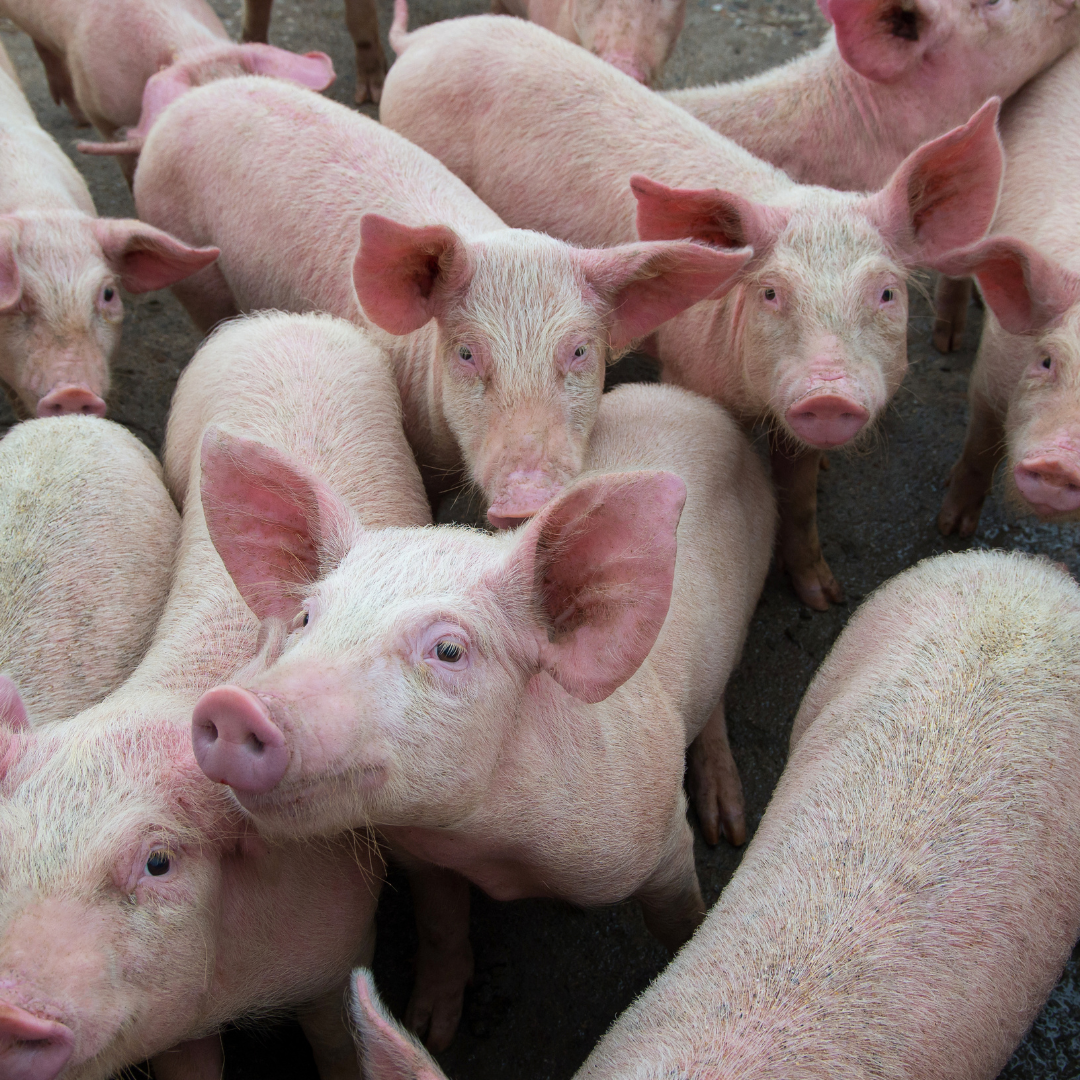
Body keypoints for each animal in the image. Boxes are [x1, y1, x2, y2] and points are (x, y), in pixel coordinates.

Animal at [189, 380, 775, 1047]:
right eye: (308, 618)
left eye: (449, 650)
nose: (235, 706)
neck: (484, 845)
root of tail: (680, 395)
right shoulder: (421, 857)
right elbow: (441, 923)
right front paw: (430, 1031)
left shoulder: (660, 839)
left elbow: (678, 918)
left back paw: (727, 823)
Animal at [930, 46, 1080, 535]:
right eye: (1047, 360)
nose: (1059, 466)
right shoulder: (991, 373)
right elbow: (980, 445)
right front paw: (952, 528)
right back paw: (947, 340)